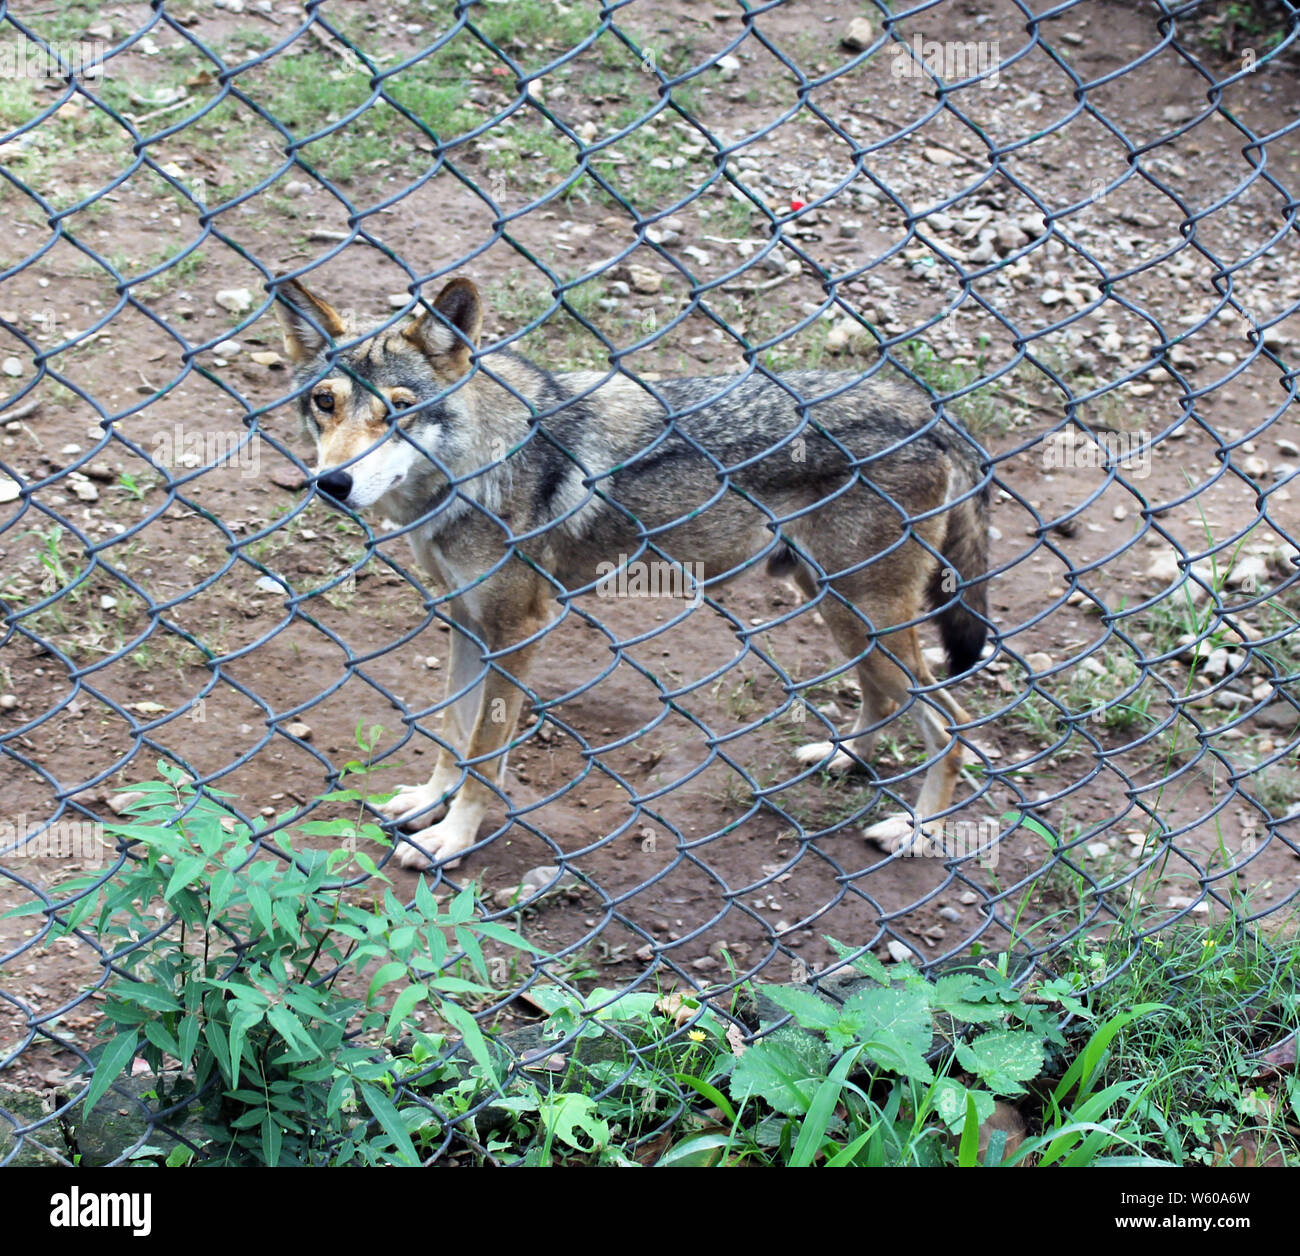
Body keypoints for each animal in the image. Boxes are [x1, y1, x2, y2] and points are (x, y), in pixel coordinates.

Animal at [273, 276, 990, 868]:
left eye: (397, 408)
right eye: (325, 402)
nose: (331, 483)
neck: (472, 468)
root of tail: (929, 409)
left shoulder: (518, 629)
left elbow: (483, 752)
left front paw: (452, 837)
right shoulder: (468, 622)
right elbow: (453, 732)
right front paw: (430, 801)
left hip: (861, 613)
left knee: (952, 727)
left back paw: (917, 833)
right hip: (842, 612)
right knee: (887, 699)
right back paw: (841, 758)